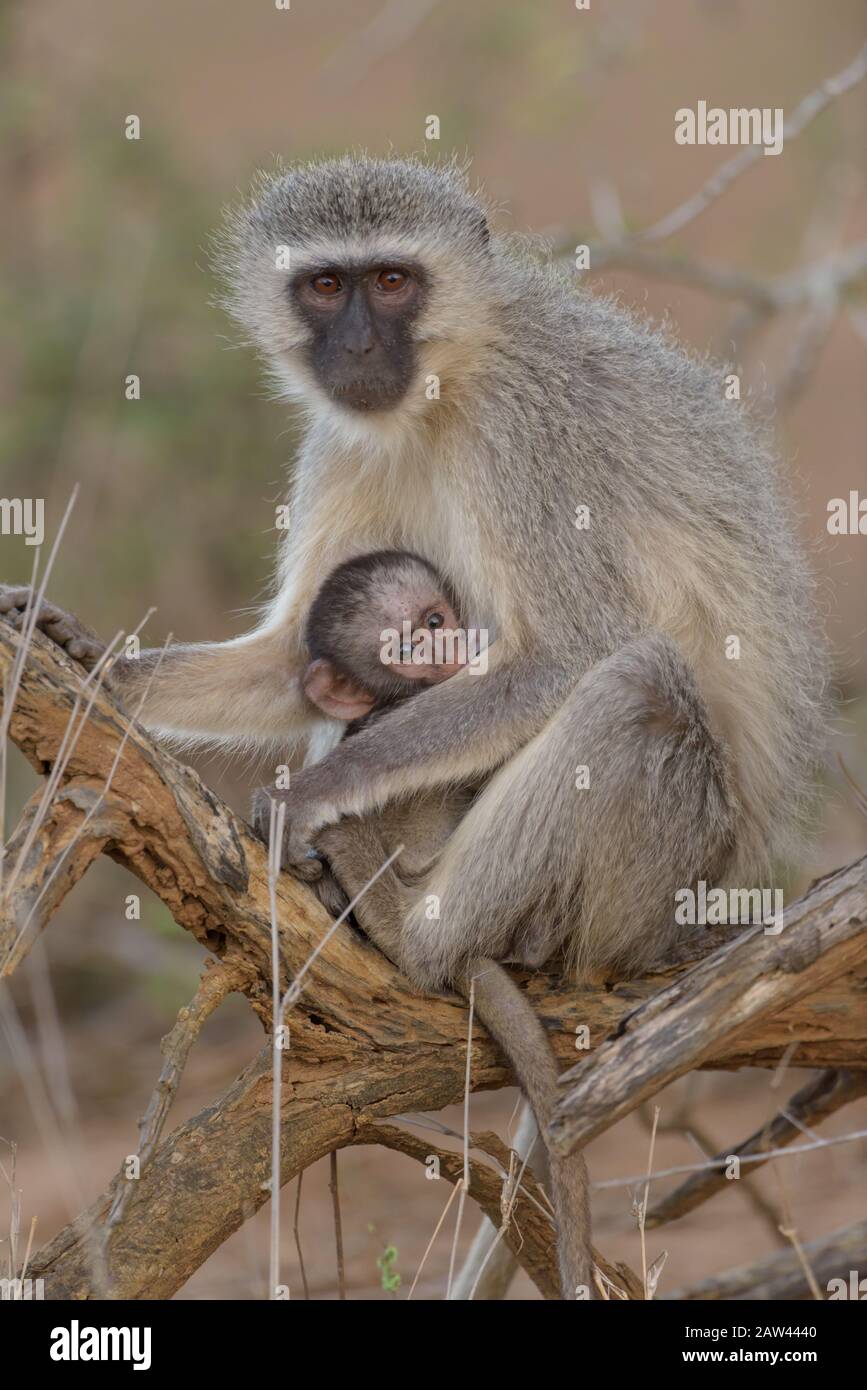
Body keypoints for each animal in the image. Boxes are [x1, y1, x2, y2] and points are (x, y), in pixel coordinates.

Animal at [0, 155, 829, 1297]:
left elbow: (570, 652)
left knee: (634, 684)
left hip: (644, 893)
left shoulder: (524, 435)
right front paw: (92, 663)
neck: (446, 386)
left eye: (392, 281)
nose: (355, 347)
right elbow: (293, 662)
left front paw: (309, 798)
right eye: (325, 287)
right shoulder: (341, 442)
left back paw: (413, 930)